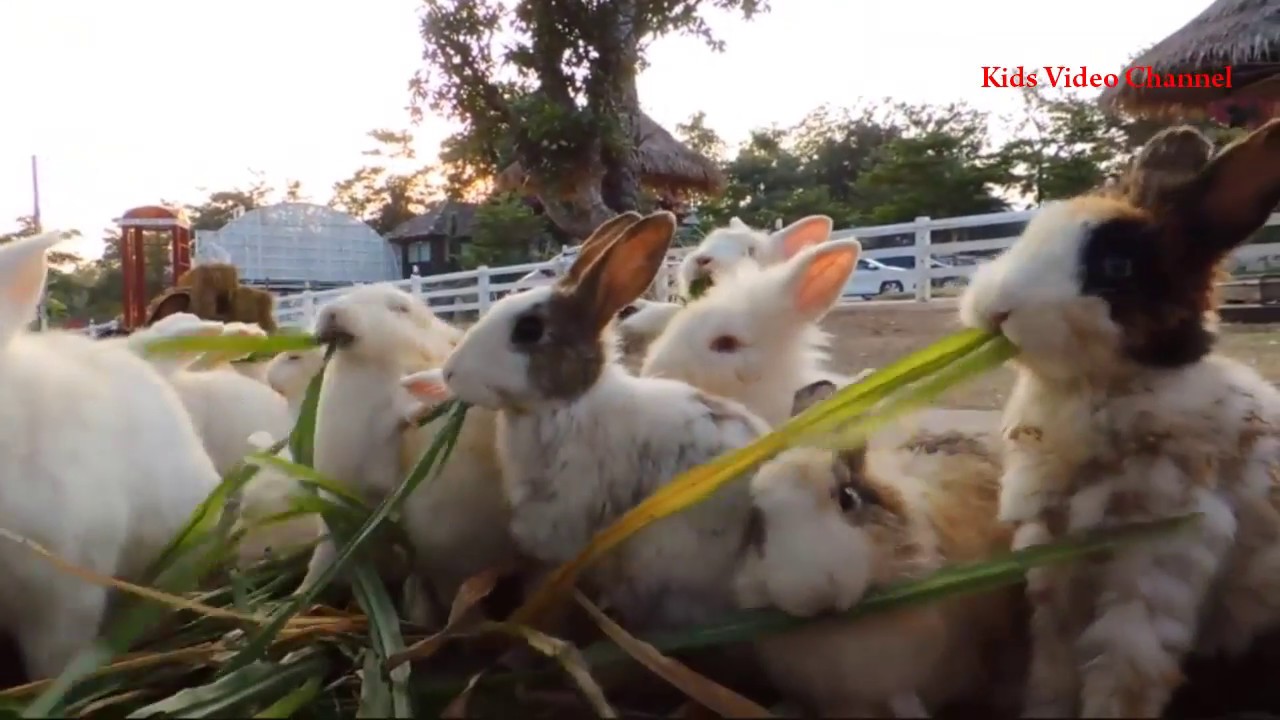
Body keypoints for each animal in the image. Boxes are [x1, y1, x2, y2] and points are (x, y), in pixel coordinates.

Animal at [957, 120, 1280, 717]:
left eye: (1117, 267)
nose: (996, 308)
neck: (1090, 391)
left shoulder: (1157, 566)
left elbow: (1124, 667)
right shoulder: (1054, 566)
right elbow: (1054, 667)